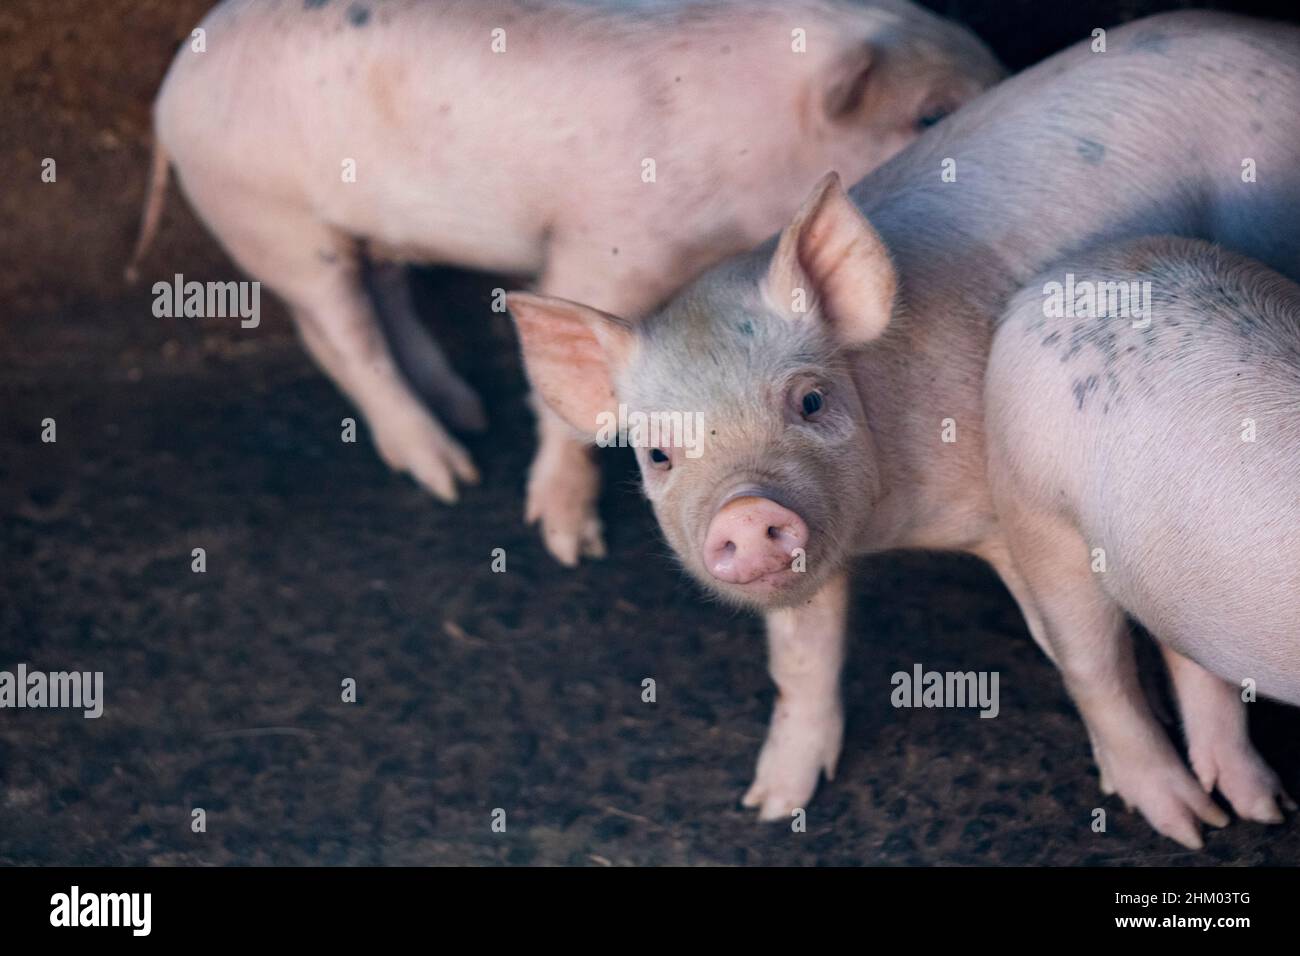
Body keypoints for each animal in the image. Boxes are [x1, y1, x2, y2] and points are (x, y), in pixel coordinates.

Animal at [125, 0, 1003, 566]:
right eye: (928, 115)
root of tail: (168, 94)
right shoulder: (606, 241)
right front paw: (571, 549)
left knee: (387, 298)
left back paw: (466, 411)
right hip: (276, 224)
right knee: (342, 338)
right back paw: (451, 473)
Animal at [506, 10, 1300, 847]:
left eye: (811, 401)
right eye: (659, 453)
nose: (747, 511)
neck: (886, 527)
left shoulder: (1006, 509)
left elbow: (1069, 645)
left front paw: (1160, 814)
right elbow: (803, 661)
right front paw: (771, 805)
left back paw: (1221, 819)